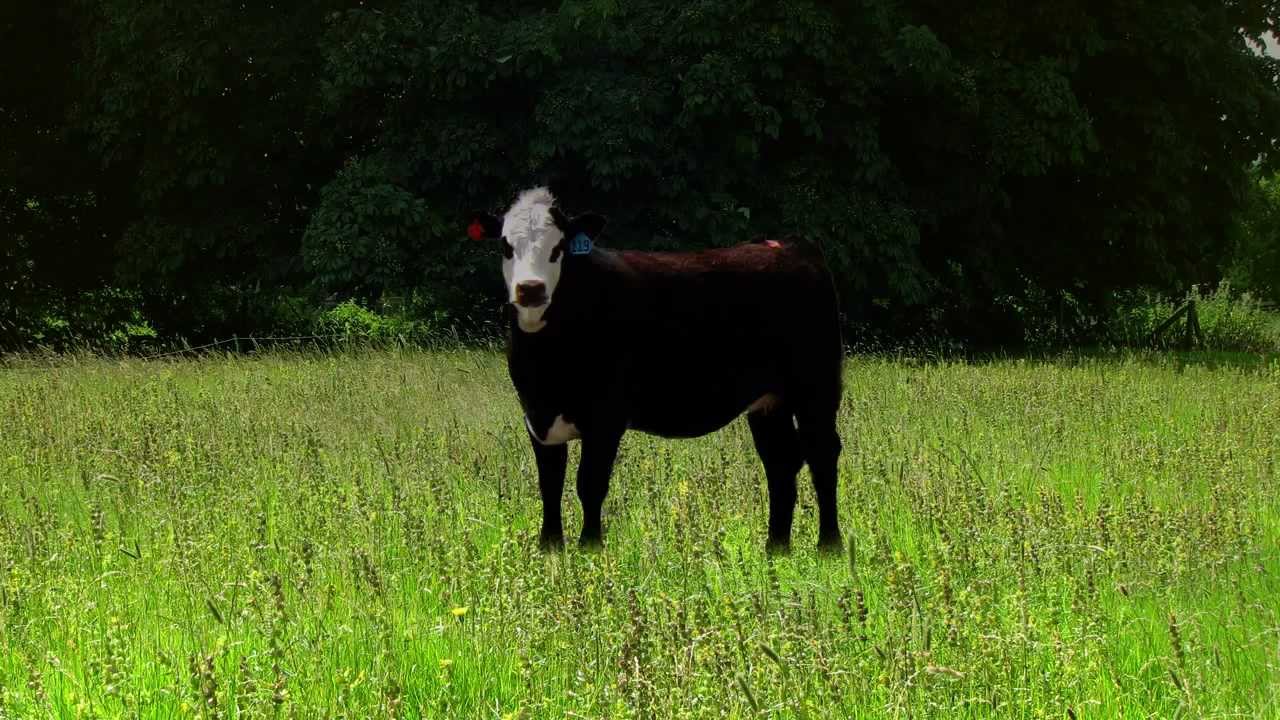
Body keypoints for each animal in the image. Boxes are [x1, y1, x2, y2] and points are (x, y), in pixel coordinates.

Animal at [467, 187, 844, 553]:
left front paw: (590, 547)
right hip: (770, 401)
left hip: (817, 385)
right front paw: (549, 547)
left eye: (559, 247)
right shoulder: (536, 416)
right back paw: (776, 548)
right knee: (782, 462)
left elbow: (590, 483)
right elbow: (549, 484)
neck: (548, 364)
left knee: (821, 452)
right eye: (506, 246)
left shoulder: (606, 418)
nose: (530, 289)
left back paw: (830, 545)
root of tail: (790, 245)